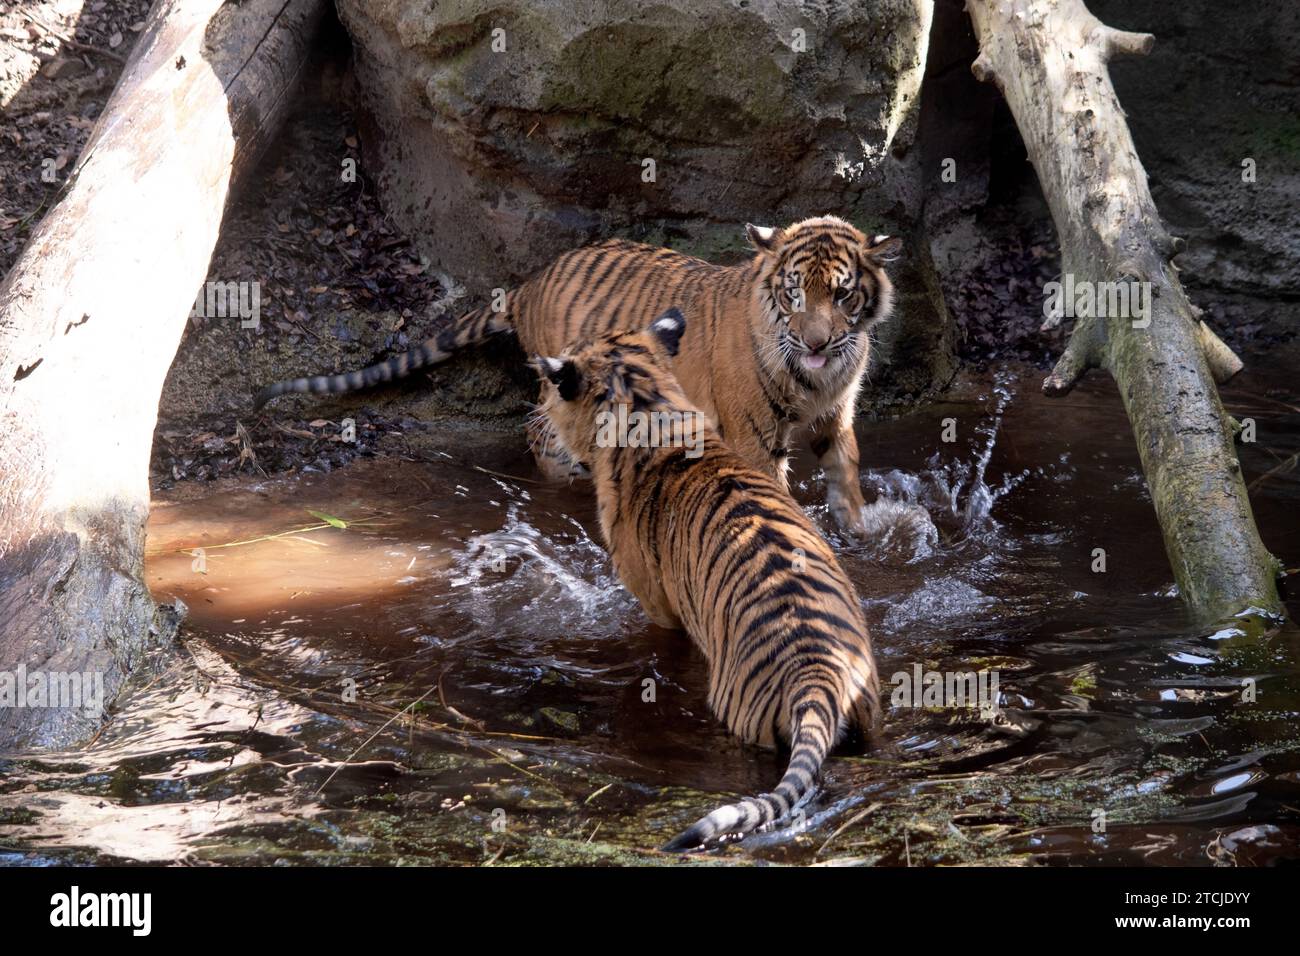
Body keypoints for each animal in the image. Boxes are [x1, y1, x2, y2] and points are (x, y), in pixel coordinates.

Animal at [253, 217, 903, 535]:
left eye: (842, 295)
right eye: (794, 293)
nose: (816, 343)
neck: (819, 376)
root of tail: (526, 285)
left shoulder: (835, 415)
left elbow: (846, 476)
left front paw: (861, 530)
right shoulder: (754, 436)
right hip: (562, 387)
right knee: (538, 433)